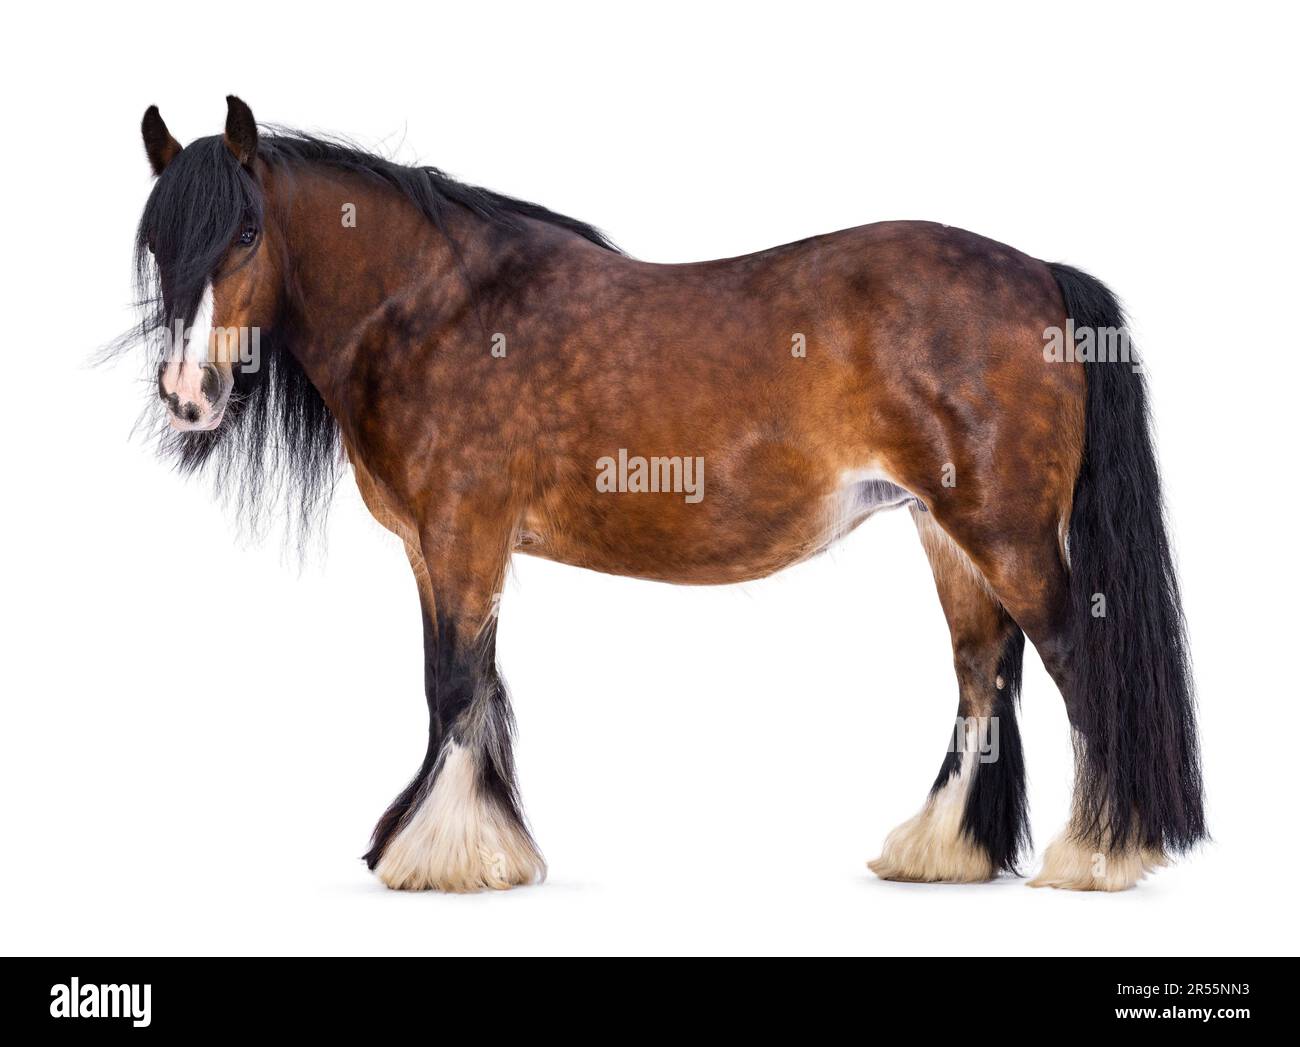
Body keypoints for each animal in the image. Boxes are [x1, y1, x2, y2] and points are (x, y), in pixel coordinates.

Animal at [123, 96, 1205, 893]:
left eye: (247, 229)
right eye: (155, 243)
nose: (187, 394)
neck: (436, 310)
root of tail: (1042, 277)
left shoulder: (462, 534)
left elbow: (455, 683)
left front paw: (442, 858)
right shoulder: (439, 549)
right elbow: (463, 684)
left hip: (1004, 531)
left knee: (1076, 665)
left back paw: (1098, 855)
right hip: (946, 534)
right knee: (983, 673)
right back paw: (942, 852)